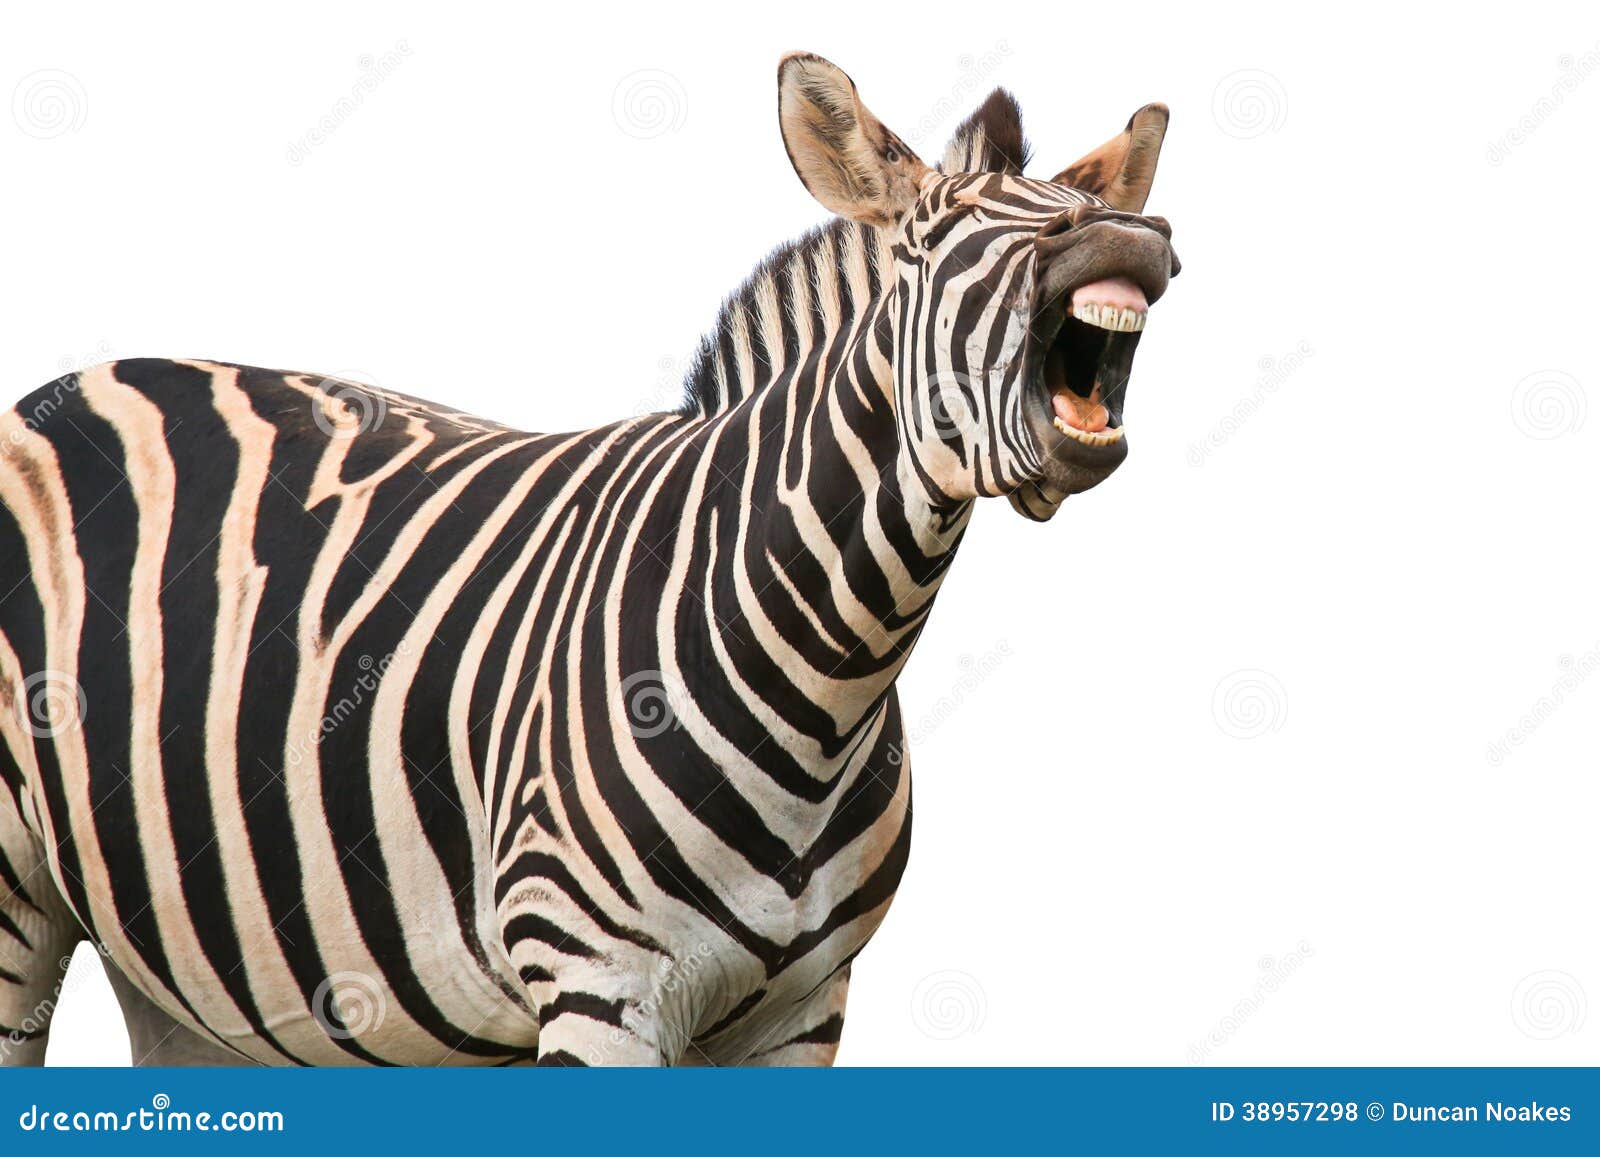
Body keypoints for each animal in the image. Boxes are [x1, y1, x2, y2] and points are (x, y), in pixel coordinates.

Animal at [0, 52, 1178, 1066]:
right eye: (935, 242)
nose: (1128, 236)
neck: (826, 680)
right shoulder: (595, 985)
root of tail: (75, 383)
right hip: (18, 898)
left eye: (1091, 214)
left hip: (185, 971)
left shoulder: (803, 1010)